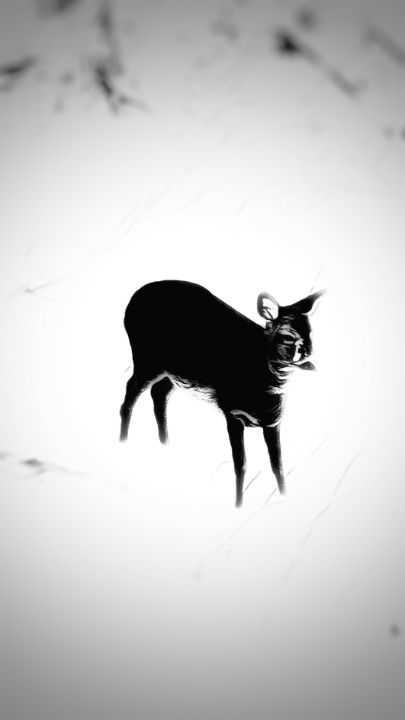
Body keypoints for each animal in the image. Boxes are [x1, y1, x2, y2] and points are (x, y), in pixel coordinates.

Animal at [119, 280, 324, 507]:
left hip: (172, 372)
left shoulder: (273, 421)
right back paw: (123, 441)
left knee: (159, 393)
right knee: (130, 391)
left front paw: (283, 495)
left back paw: (165, 444)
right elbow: (240, 464)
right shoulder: (232, 412)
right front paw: (238, 504)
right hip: (147, 360)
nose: (307, 353)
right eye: (287, 336)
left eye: (310, 332)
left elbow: (277, 464)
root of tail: (133, 298)